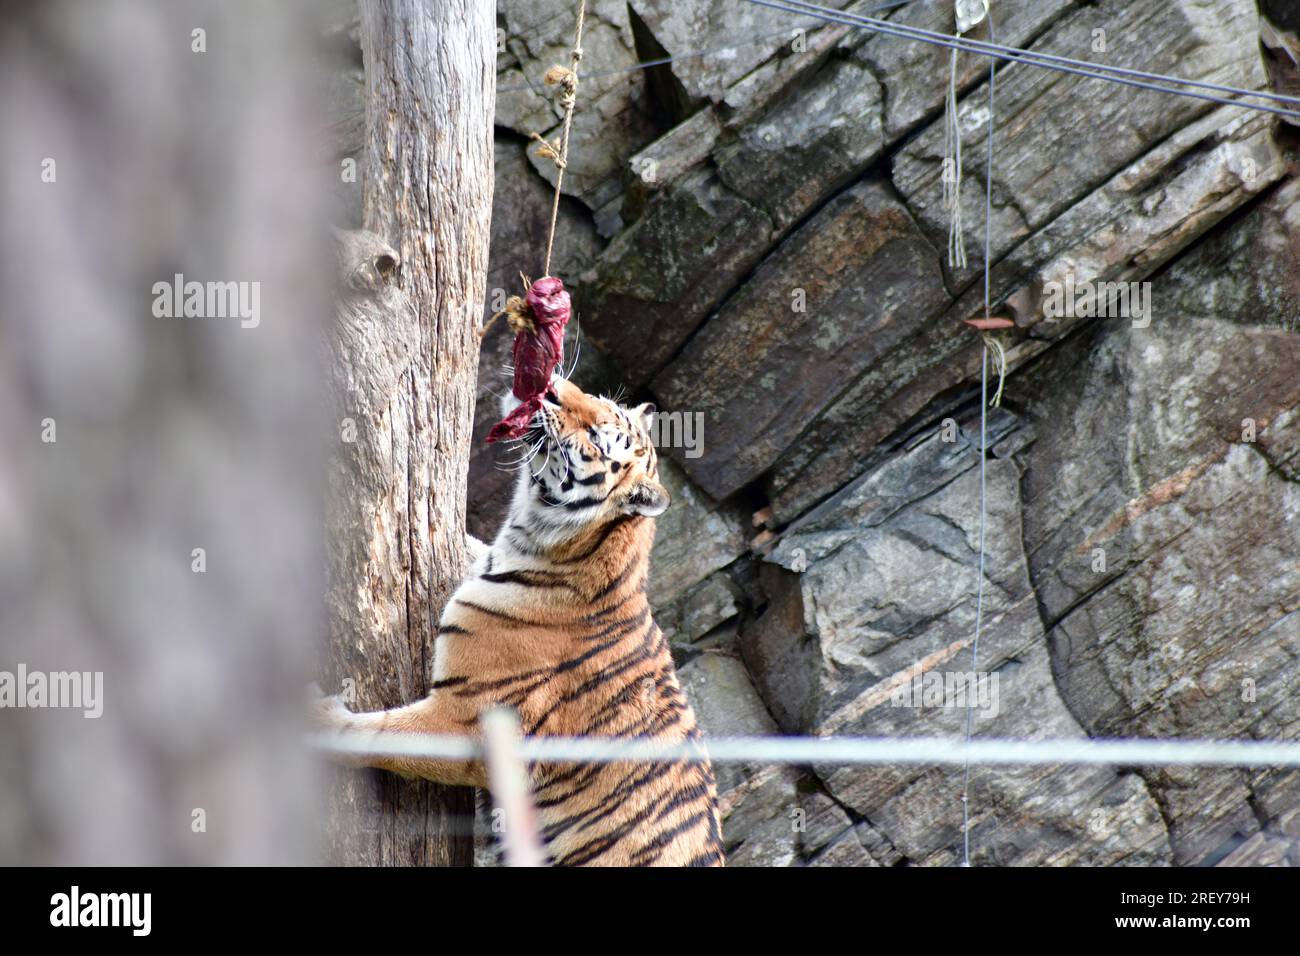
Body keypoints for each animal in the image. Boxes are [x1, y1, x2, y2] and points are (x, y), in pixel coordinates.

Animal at [314, 374, 725, 867]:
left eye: (595, 436)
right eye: (596, 398)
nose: (551, 389)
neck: (531, 538)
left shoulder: (467, 720)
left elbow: (381, 735)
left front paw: (314, 721)